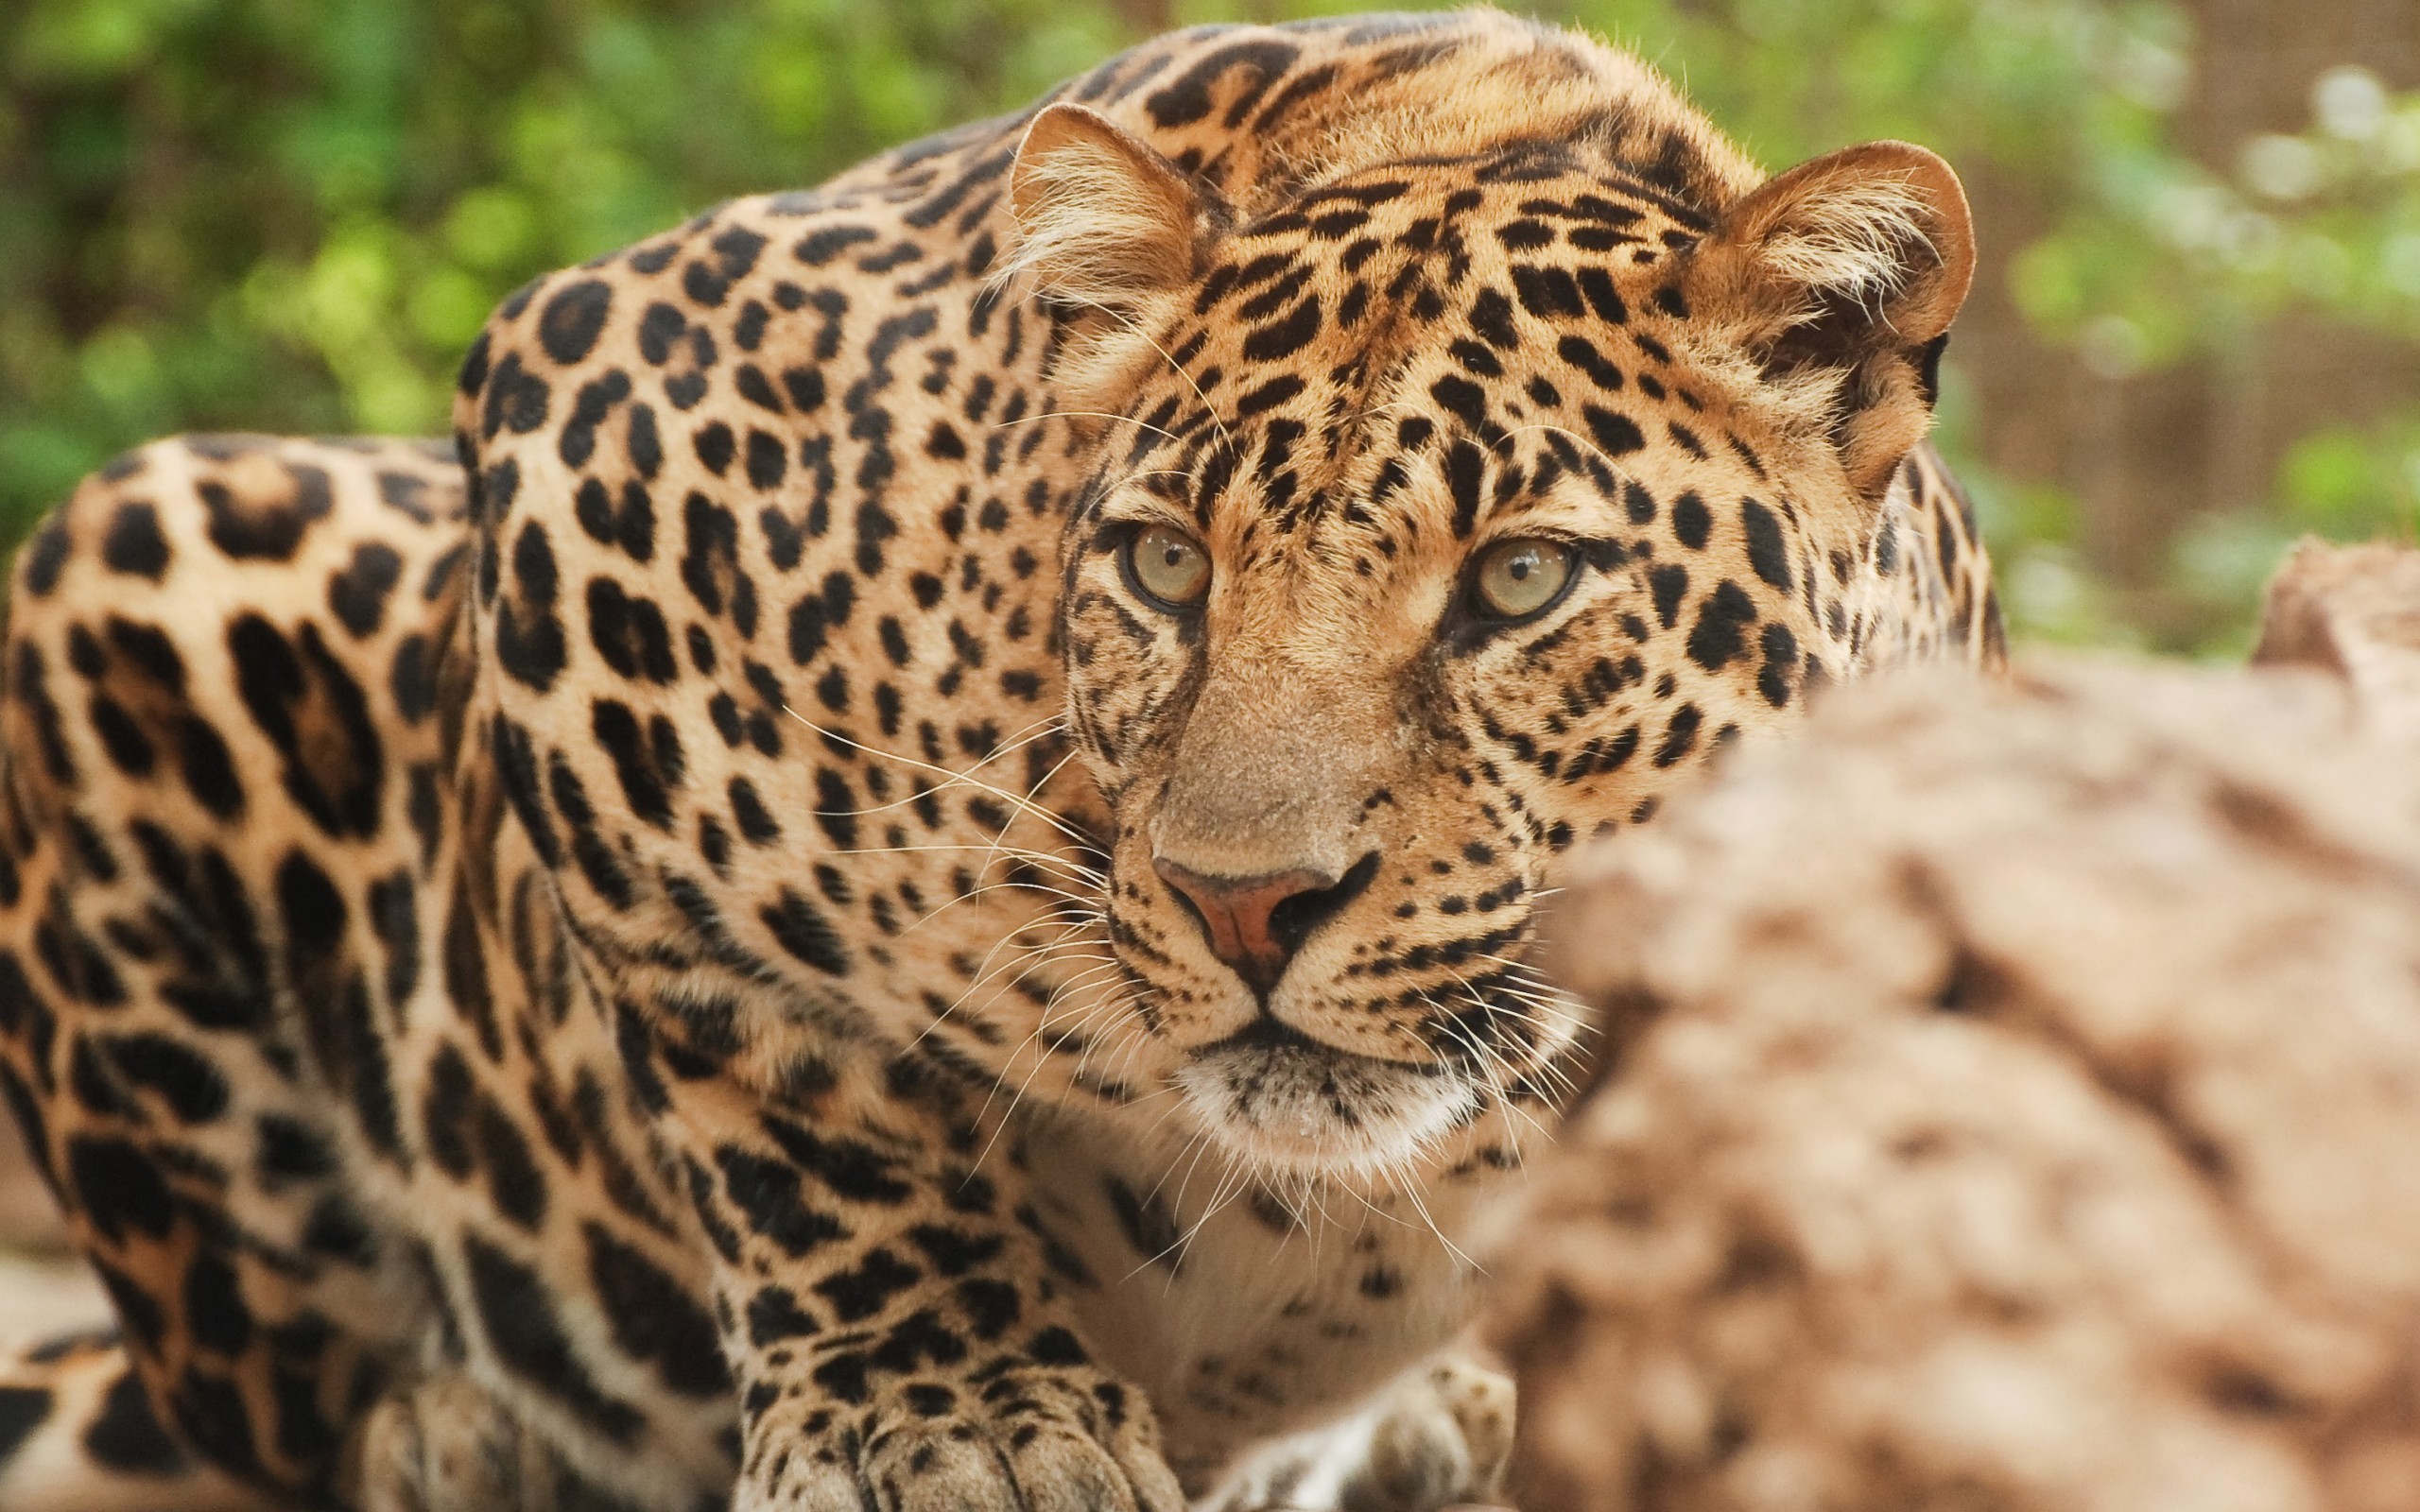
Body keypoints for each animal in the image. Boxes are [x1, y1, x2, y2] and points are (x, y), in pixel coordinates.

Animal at [0, 11, 2000, 1512]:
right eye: (1166, 567)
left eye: (1518, 578)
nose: (1243, 907)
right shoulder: (589, 430)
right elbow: (779, 1074)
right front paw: (952, 1413)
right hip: (130, 548)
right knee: (292, 1387)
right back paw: (455, 1433)